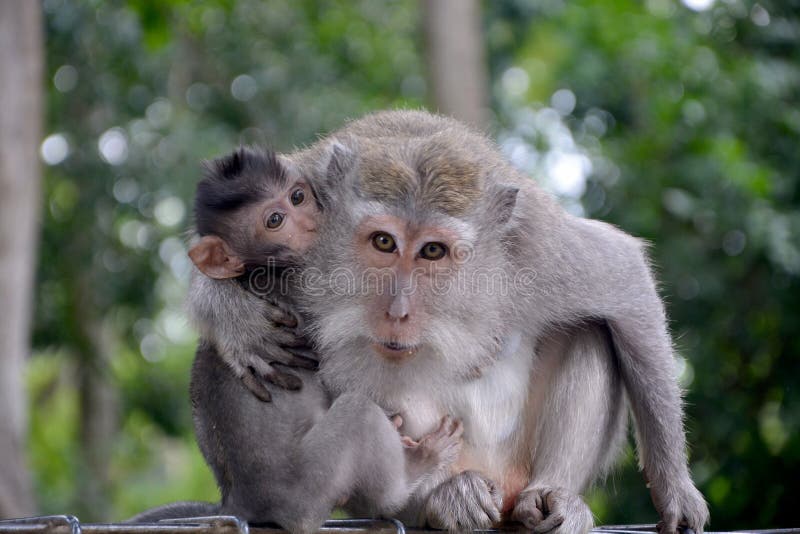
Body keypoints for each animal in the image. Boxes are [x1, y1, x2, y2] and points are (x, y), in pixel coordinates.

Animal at [288, 109, 709, 534]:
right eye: (384, 242)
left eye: (433, 251)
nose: (397, 311)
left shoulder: (538, 250)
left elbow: (626, 280)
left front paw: (675, 491)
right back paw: (443, 497)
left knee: (591, 329)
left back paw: (552, 495)